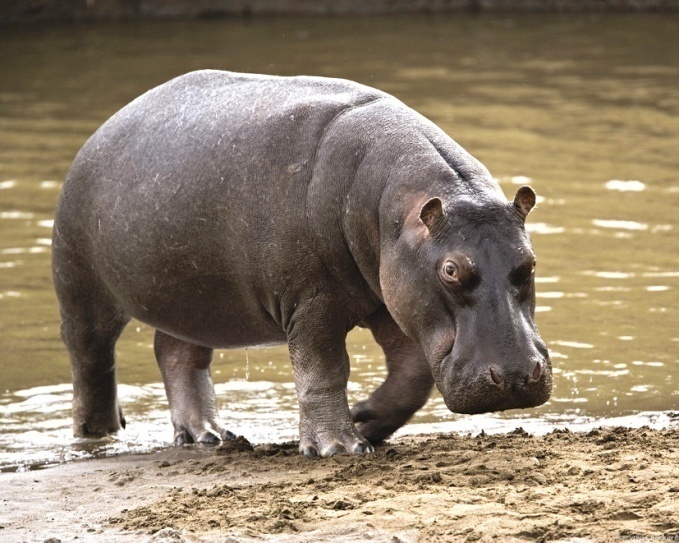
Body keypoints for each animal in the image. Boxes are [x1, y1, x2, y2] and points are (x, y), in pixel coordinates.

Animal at [52, 70, 552, 458]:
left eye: (529, 262)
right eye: (451, 270)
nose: (514, 376)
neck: (395, 210)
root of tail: (102, 129)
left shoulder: (392, 300)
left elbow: (412, 375)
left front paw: (365, 420)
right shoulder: (312, 302)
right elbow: (323, 371)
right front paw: (339, 448)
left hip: (191, 298)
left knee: (177, 354)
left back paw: (208, 436)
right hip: (81, 286)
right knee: (91, 364)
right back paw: (97, 437)